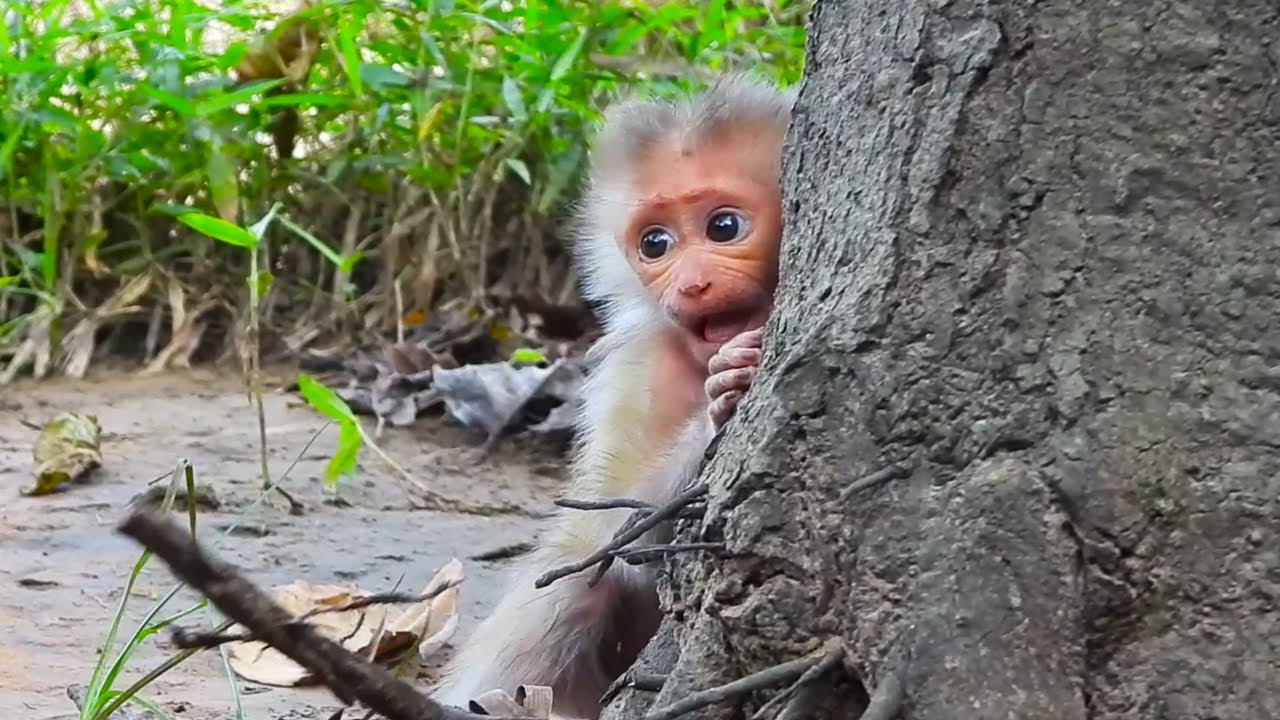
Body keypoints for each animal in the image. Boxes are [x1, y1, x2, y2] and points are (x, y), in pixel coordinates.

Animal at [431, 73, 796, 719]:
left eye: (724, 228)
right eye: (655, 243)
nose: (690, 284)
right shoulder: (637, 366)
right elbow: (616, 535)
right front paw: (723, 394)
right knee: (575, 578)